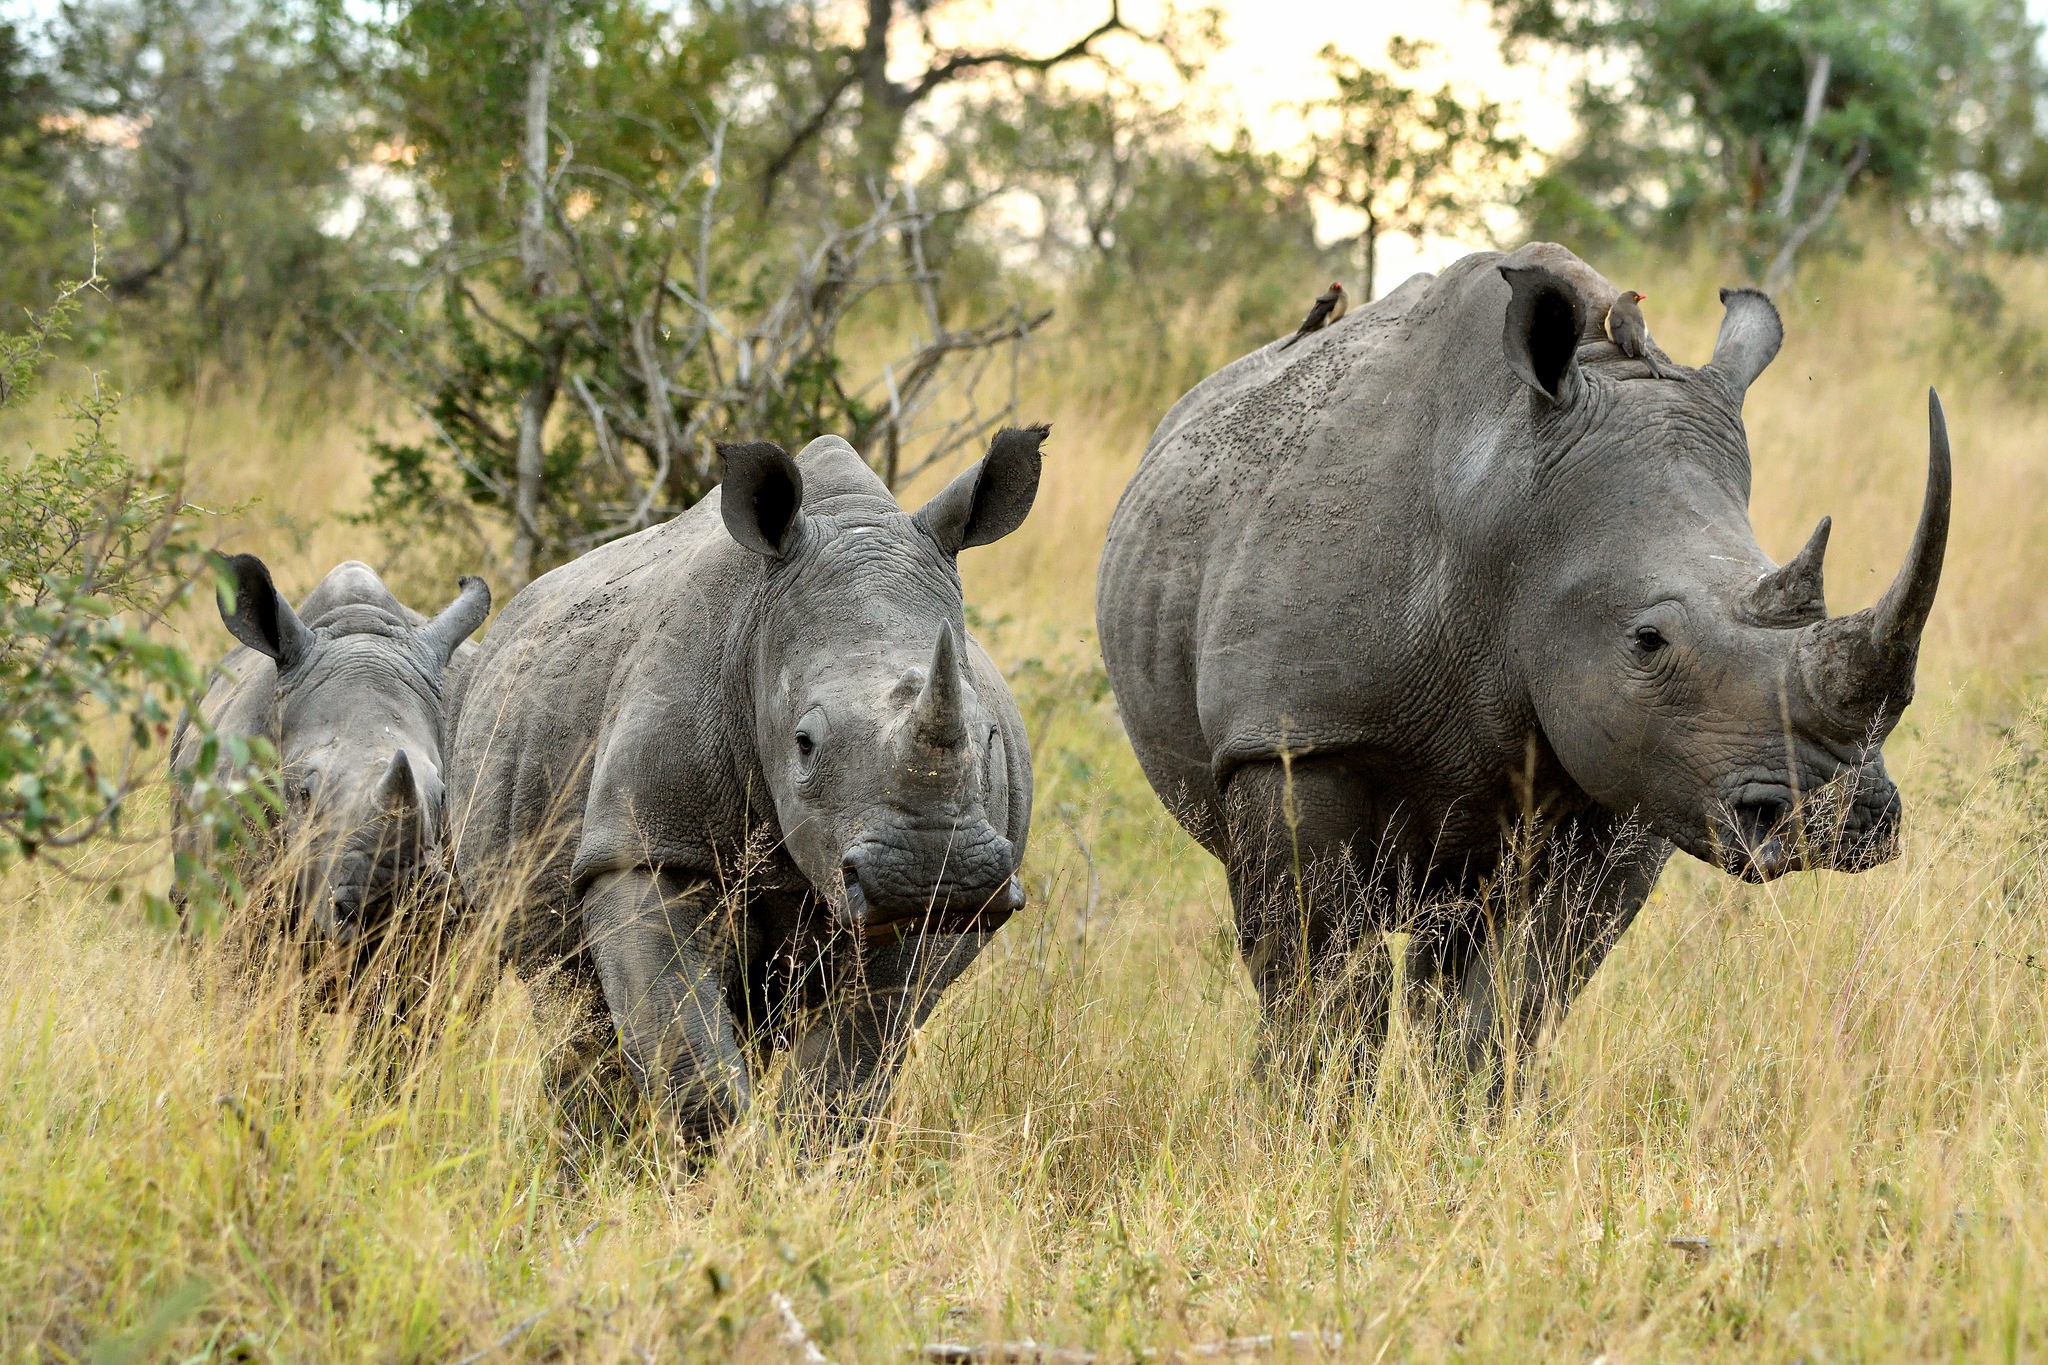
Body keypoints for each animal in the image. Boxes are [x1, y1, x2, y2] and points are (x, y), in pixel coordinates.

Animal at [446, 428, 1044, 1139]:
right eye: (805, 744)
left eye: (990, 740)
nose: (933, 874)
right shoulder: (644, 849)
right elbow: (681, 1047)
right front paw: (726, 1159)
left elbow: (846, 1075)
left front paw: (792, 1159)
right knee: (567, 1005)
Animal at [1096, 244, 1950, 1080]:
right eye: (1648, 641)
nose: (1845, 821)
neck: (1508, 513)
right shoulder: (1293, 737)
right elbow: (1324, 988)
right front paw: (1312, 1115)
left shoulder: (1639, 776)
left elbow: (1518, 996)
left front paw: (1467, 1112)